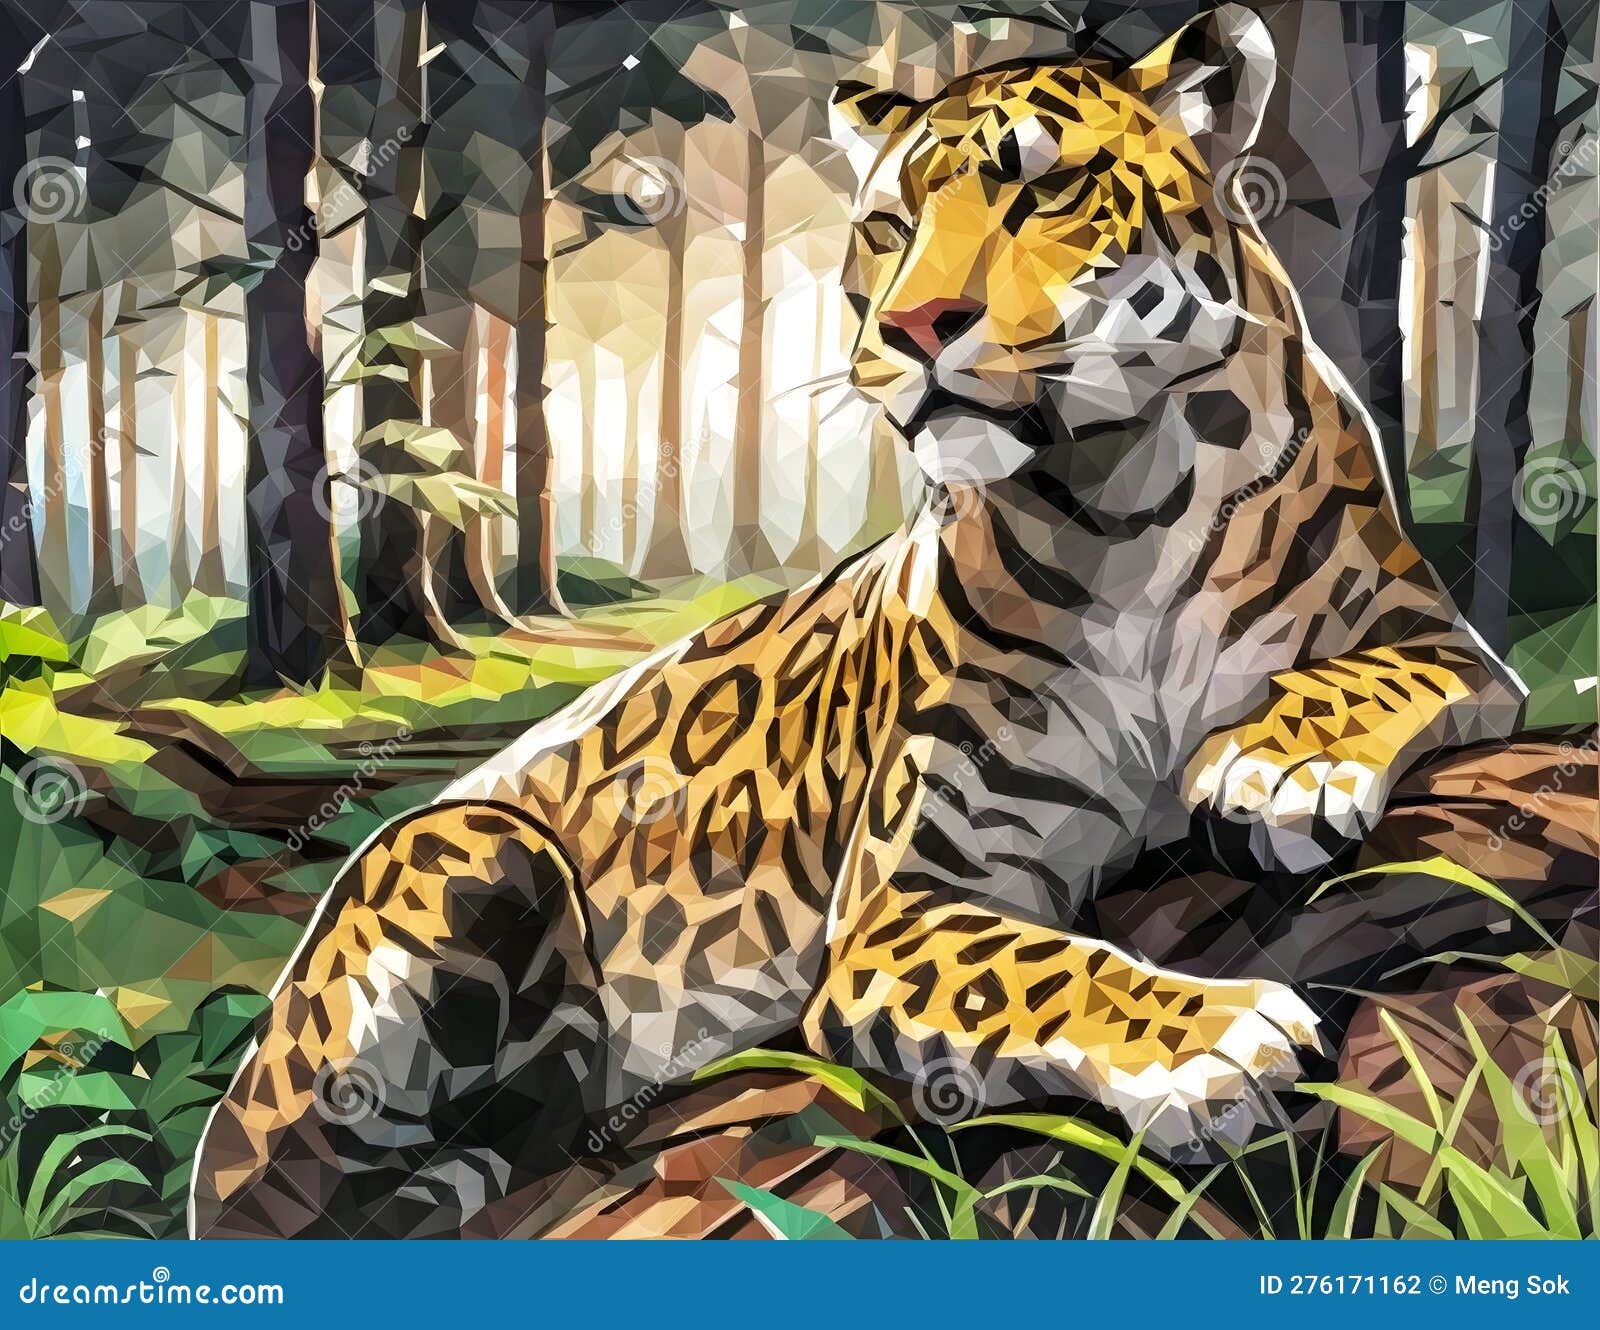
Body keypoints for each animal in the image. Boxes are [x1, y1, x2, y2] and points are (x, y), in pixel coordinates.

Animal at [190, 6, 1523, 1239]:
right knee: (291, 1193)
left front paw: (1282, 762)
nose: (912, 328)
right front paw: (1214, 1034)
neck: (1128, 496)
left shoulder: (1445, 640)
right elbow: (1036, 969)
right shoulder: (901, 899)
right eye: (887, 226)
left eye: (1045, 190)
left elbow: (1373, 676)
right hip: (462, 847)